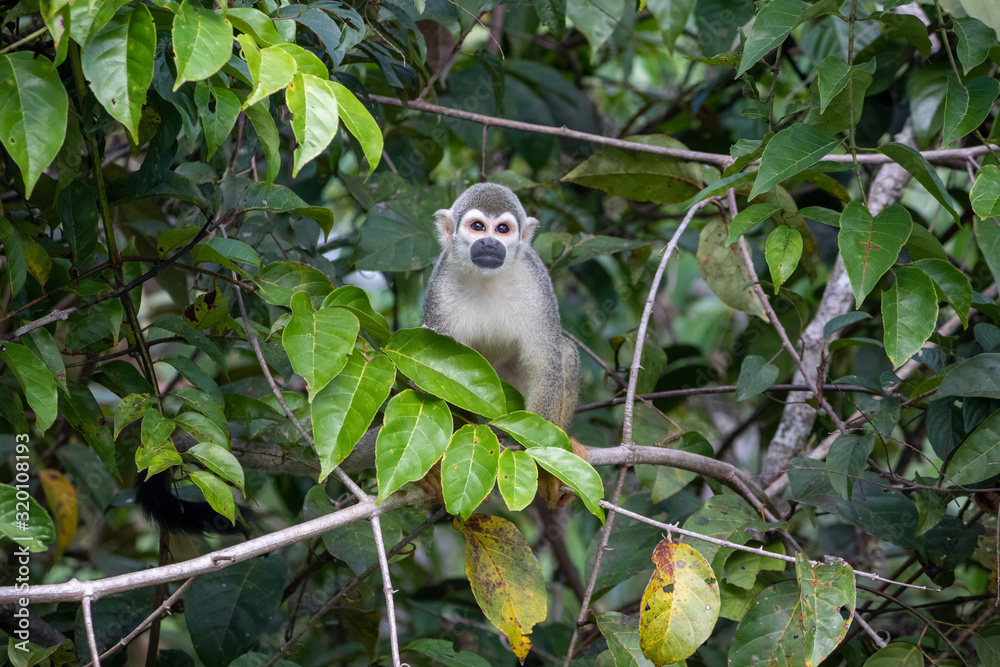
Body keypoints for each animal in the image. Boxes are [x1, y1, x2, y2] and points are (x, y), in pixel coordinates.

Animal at [422, 182, 580, 431]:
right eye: (478, 227)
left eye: (502, 229)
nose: (490, 242)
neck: (487, 278)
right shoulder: (440, 289)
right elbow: (444, 364)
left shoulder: (537, 283)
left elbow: (544, 368)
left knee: (565, 352)